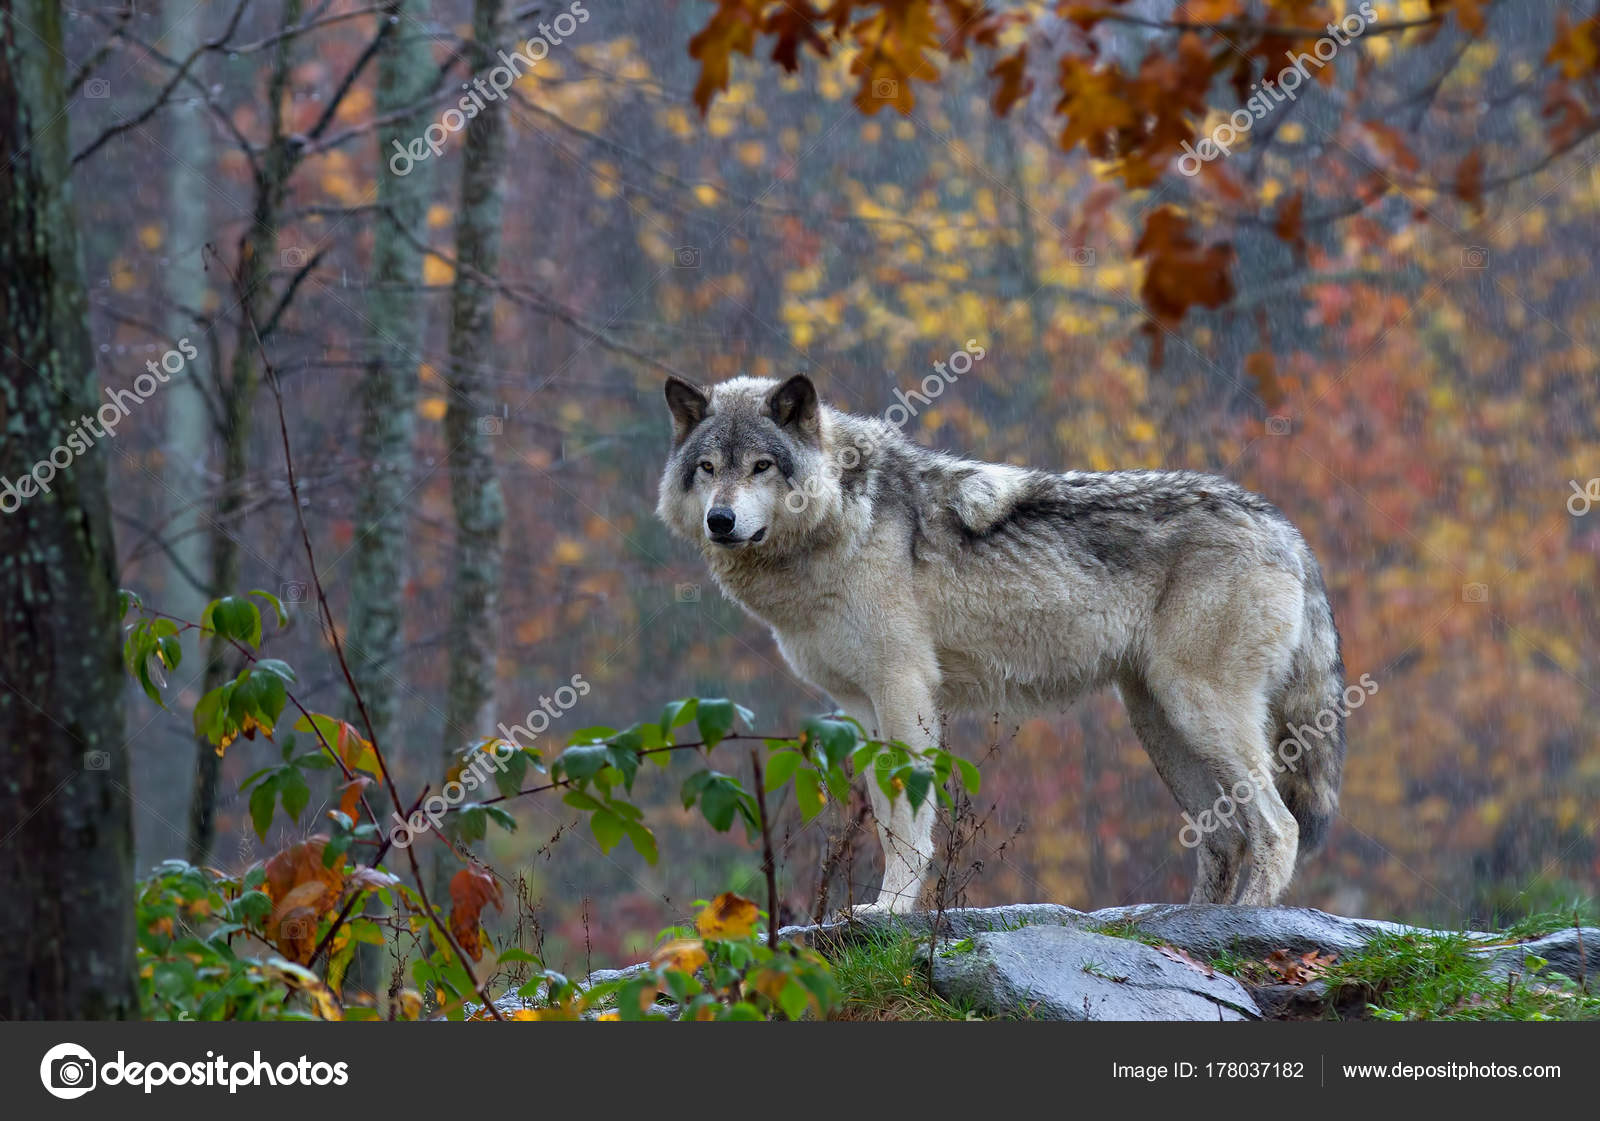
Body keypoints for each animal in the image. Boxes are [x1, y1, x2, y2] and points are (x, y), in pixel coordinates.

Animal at [656, 373, 1345, 914]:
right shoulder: (859, 705)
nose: (721, 521)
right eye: (708, 469)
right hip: (1161, 725)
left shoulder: (905, 689)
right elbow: (883, 814)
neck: (842, 521)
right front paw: (881, 907)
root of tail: (1286, 529)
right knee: (1225, 837)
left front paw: (891, 910)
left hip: (1199, 711)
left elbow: (908, 821)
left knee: (1278, 827)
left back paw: (1246, 920)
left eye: (762, 467)